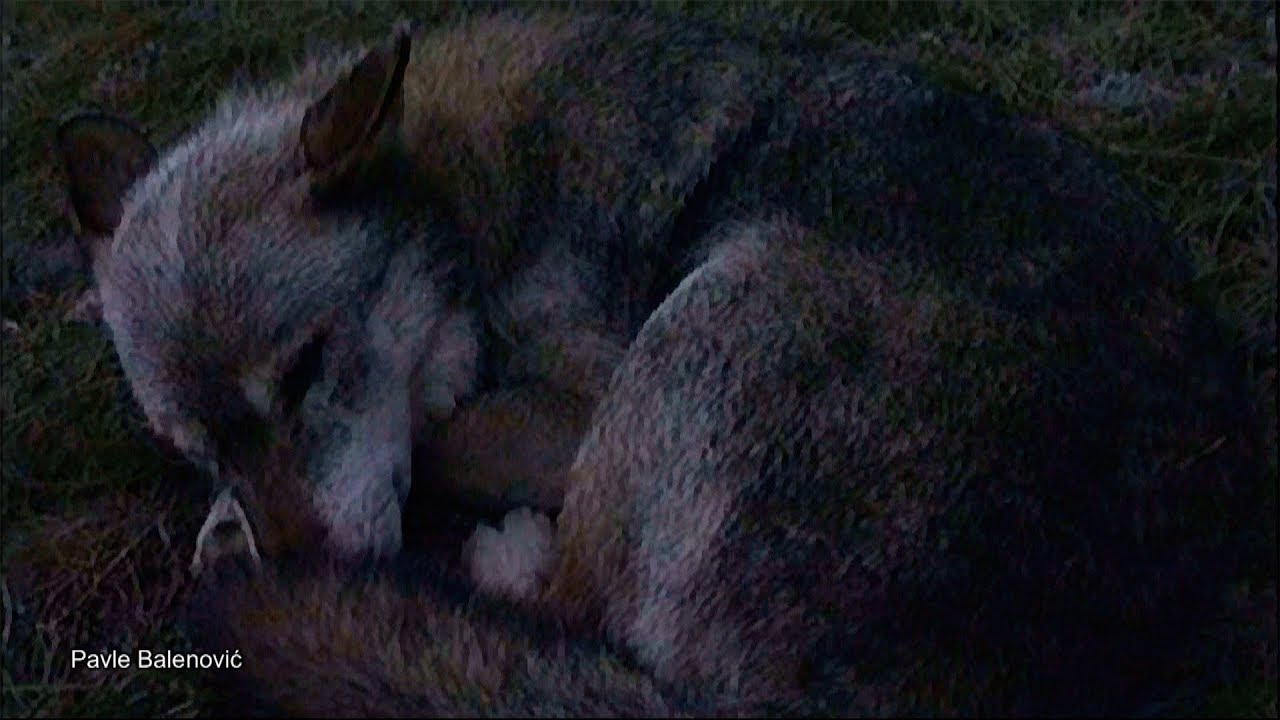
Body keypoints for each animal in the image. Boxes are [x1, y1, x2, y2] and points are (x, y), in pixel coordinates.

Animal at [59, 5, 1266, 716]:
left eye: (309, 369)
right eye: (189, 445)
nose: (301, 563)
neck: (464, 188)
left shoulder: (581, 389)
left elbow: (446, 428)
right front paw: (229, 523)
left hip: (712, 320)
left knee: (577, 608)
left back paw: (501, 563)